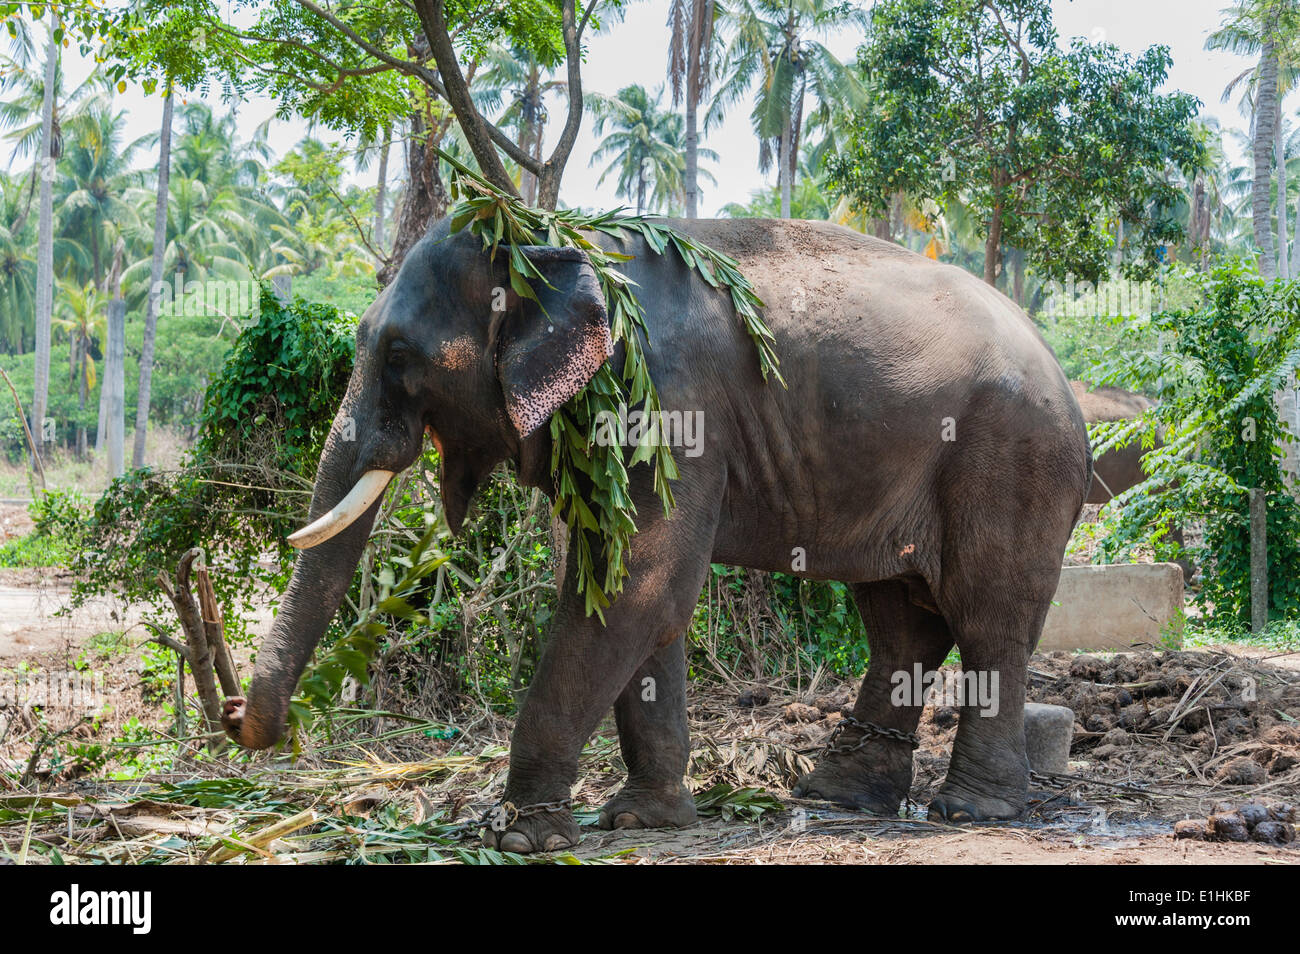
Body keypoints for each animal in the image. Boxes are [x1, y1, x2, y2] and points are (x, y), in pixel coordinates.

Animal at [222, 216, 1092, 852]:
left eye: (401, 353)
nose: (234, 716)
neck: (551, 237)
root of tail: (1064, 372)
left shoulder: (668, 403)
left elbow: (639, 586)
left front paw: (521, 837)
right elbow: (636, 597)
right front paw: (643, 820)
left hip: (1010, 456)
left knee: (986, 617)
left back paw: (971, 811)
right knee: (899, 619)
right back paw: (838, 794)